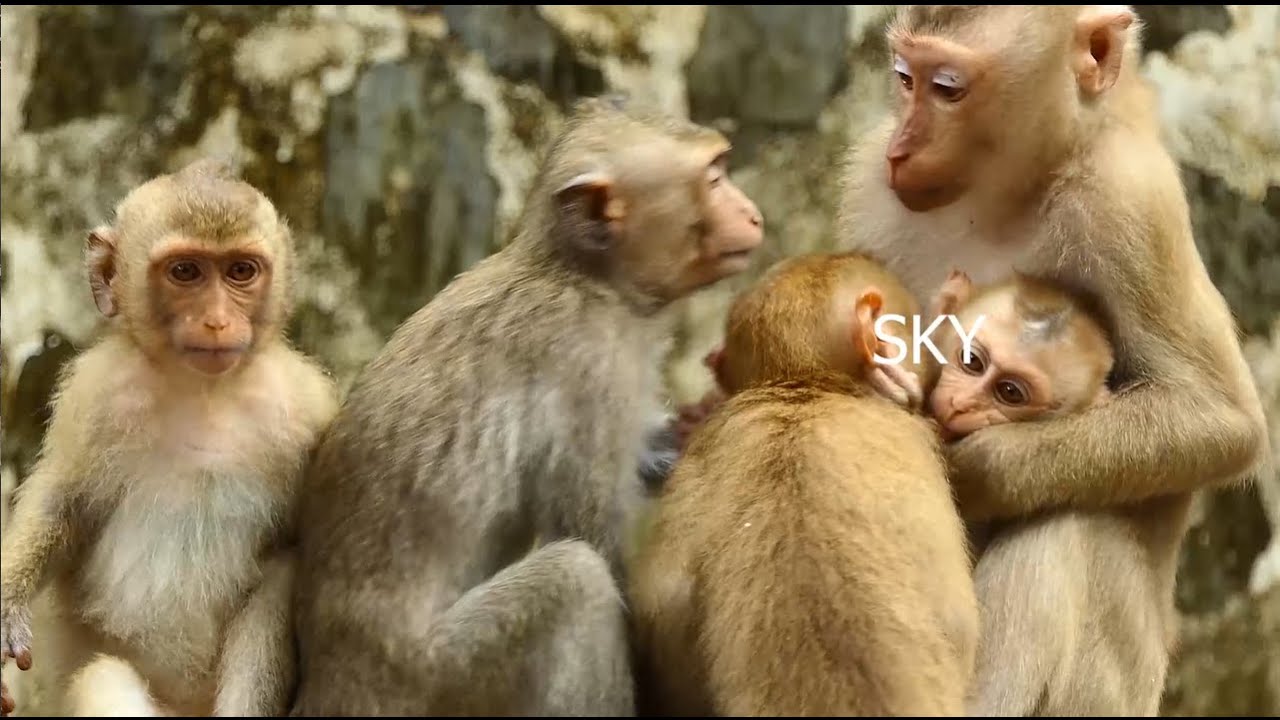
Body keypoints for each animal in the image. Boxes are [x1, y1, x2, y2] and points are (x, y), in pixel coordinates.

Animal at [0, 159, 339, 717]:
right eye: (185, 272)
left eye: (240, 271)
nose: (218, 321)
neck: (203, 393)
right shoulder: (97, 395)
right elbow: (61, 506)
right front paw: (7, 609)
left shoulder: (308, 408)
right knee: (102, 678)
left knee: (283, 571)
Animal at [288, 96, 765, 716]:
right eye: (712, 178)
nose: (752, 213)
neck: (583, 277)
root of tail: (330, 680)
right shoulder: (591, 362)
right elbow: (593, 536)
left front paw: (693, 422)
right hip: (440, 678)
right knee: (575, 581)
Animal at [836, 6, 1268, 714]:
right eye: (905, 78)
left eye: (948, 88)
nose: (903, 145)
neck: (1004, 199)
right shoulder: (873, 183)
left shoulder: (1130, 201)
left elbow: (1219, 420)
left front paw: (978, 471)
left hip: (1112, 690)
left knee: (1063, 516)